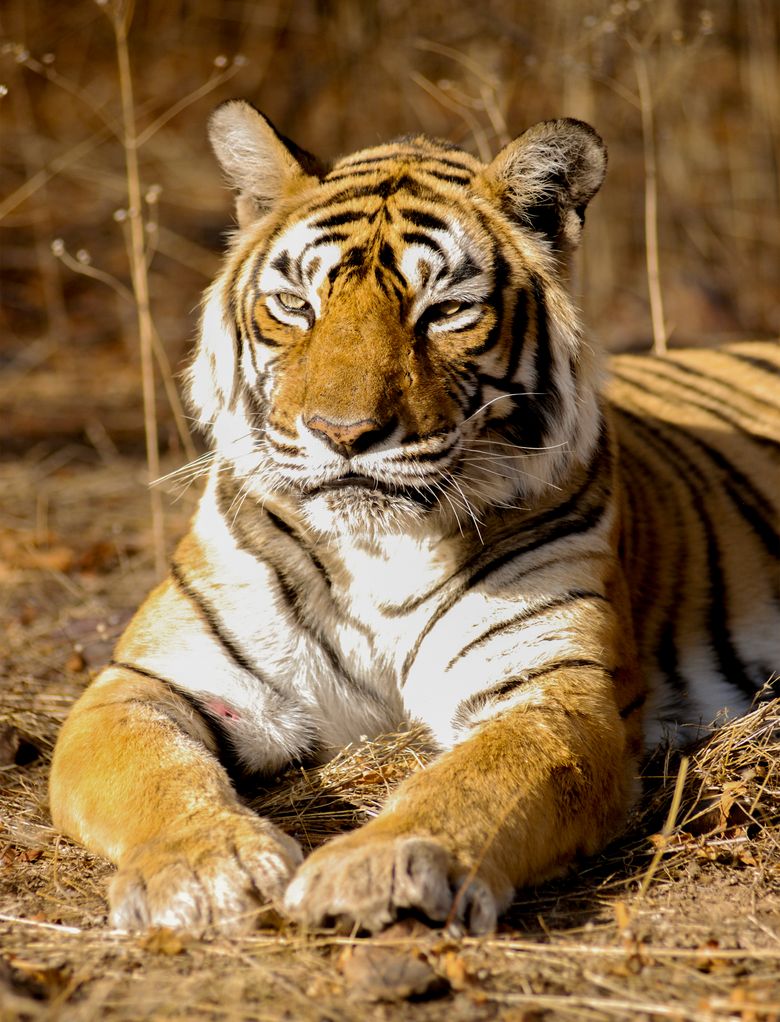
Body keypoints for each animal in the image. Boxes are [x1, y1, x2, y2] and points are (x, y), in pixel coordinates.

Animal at [49, 100, 780, 936]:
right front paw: (206, 869)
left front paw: (378, 869)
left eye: (446, 312)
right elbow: (158, 775)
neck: (376, 553)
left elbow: (473, 782)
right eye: (295, 306)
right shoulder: (150, 682)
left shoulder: (551, 691)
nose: (342, 434)